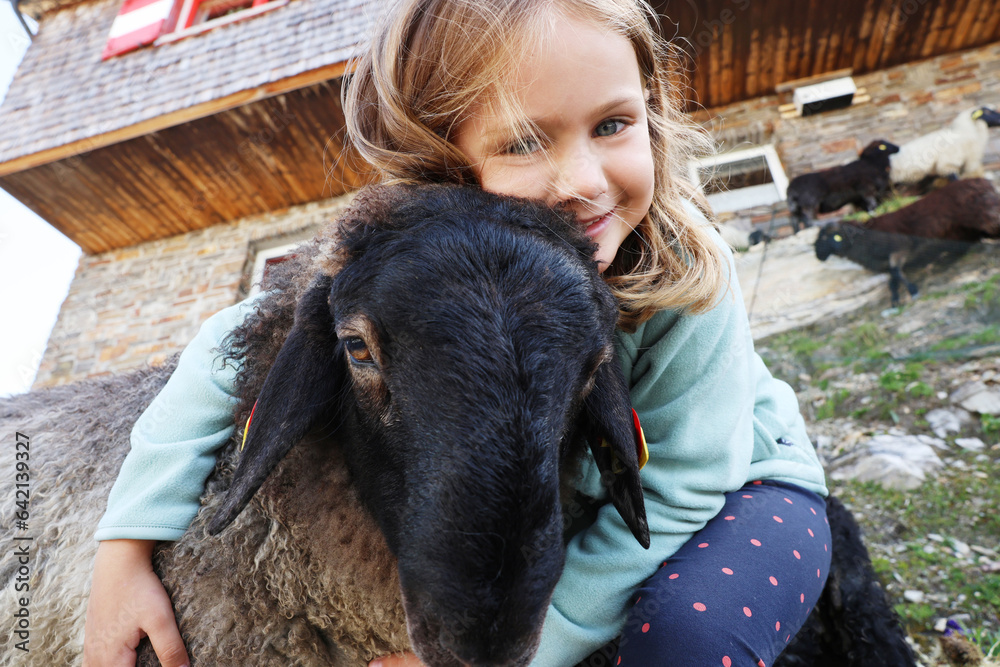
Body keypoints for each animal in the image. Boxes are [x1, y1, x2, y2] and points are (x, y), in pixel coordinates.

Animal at [814, 177, 1000, 306]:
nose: (818, 256)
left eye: (828, 236)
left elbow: (897, 272)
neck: (865, 238)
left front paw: (913, 291)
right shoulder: (886, 262)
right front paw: (895, 301)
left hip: (985, 216)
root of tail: (985, 182)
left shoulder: (901, 248)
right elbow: (892, 281)